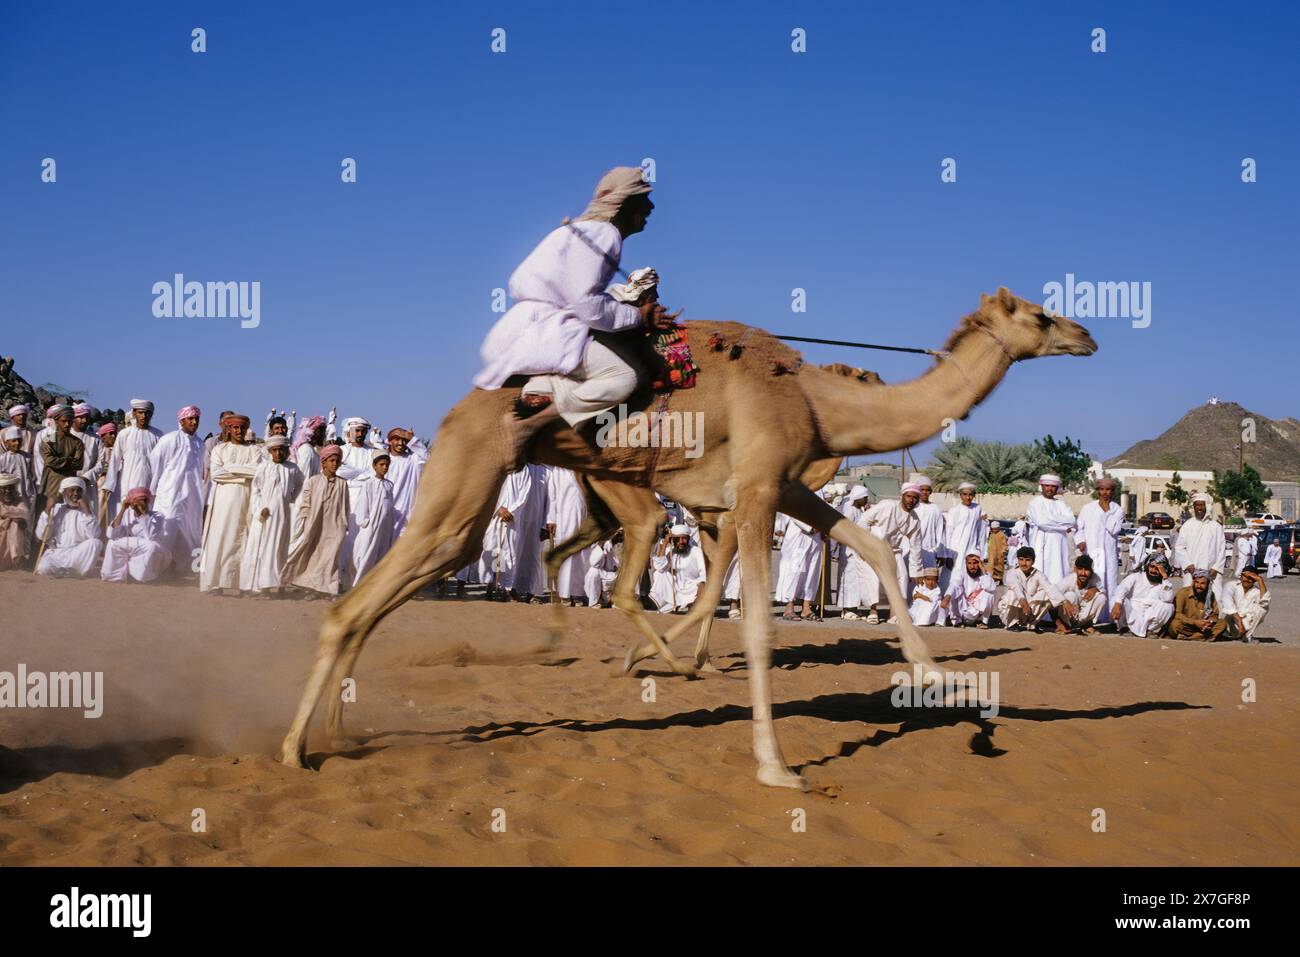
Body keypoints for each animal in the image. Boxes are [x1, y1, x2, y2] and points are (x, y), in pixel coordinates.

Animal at [279, 288, 1096, 789]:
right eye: (1039, 315)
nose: (1087, 333)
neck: (815, 399)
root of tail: (459, 408)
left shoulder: (784, 483)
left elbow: (873, 548)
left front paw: (939, 679)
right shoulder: (757, 491)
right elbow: (757, 621)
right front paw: (774, 766)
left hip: (484, 500)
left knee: (397, 590)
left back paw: (338, 735)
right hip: (470, 477)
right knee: (363, 601)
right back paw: (294, 748)